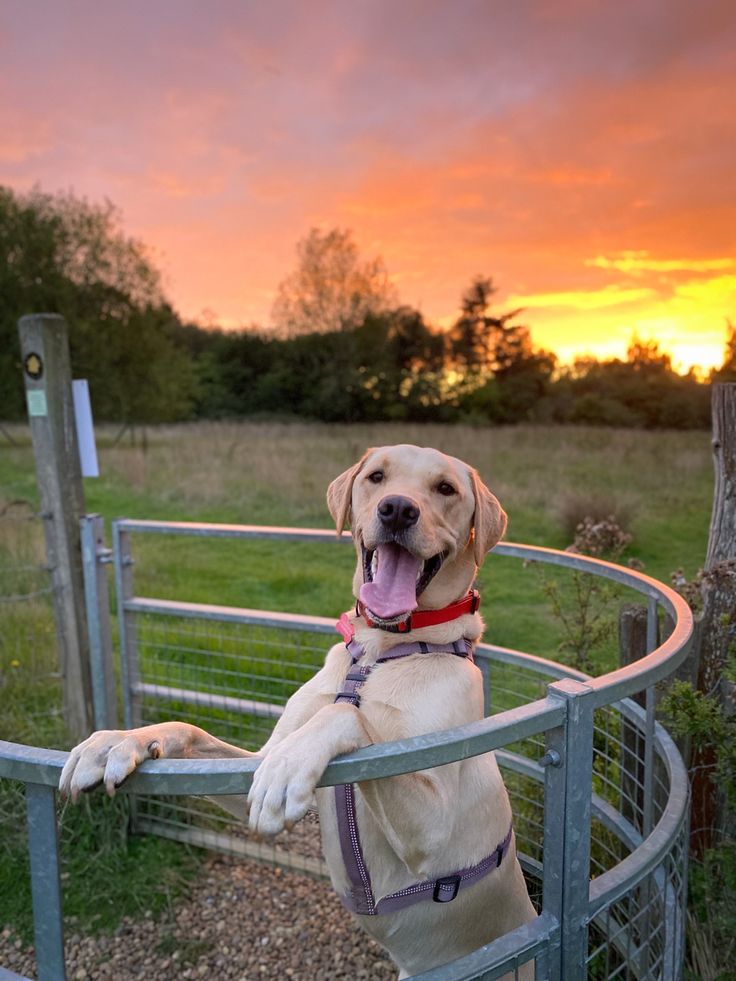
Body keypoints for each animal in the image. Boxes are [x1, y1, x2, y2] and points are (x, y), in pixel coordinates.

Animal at [60, 446, 536, 980]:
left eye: (446, 489)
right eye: (377, 477)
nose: (397, 510)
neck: (381, 650)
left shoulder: (432, 831)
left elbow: (347, 717)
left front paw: (289, 767)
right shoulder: (244, 767)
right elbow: (191, 730)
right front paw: (118, 741)